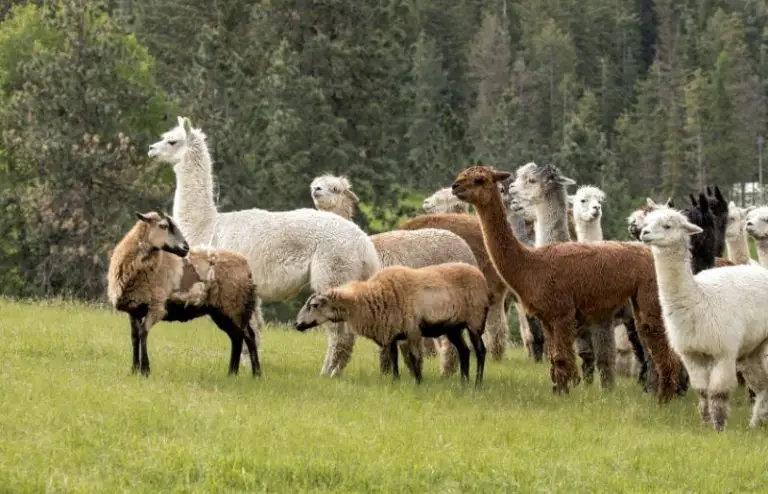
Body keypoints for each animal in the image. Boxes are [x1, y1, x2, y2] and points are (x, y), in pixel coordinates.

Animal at [107, 212, 260, 377]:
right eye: (163, 226)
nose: (186, 247)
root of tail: (247, 267)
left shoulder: (157, 306)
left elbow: (143, 332)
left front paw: (145, 370)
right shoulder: (134, 309)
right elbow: (134, 337)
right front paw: (134, 369)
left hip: (236, 305)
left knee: (248, 336)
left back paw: (256, 374)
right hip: (222, 310)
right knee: (236, 337)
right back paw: (233, 373)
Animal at [148, 117, 380, 378]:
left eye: (172, 141)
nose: (151, 149)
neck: (209, 225)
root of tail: (365, 245)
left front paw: (242, 368)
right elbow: (255, 330)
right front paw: (251, 367)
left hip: (334, 270)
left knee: (340, 332)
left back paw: (327, 375)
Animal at [294, 263, 490, 386]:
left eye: (314, 305)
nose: (297, 324)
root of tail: (480, 275)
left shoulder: (413, 331)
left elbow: (415, 357)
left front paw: (418, 382)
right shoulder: (391, 332)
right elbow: (393, 357)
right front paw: (395, 380)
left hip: (475, 321)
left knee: (480, 351)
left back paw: (477, 383)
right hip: (453, 327)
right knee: (464, 351)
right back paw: (464, 381)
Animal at [451, 165, 684, 401]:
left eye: (479, 180)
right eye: (462, 174)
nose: (455, 186)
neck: (532, 264)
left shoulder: (562, 313)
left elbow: (563, 360)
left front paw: (563, 397)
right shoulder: (547, 318)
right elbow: (555, 360)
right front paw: (558, 393)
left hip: (649, 299)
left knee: (665, 353)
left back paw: (664, 400)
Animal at [639, 207, 768, 431]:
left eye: (667, 225)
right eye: (646, 222)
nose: (644, 233)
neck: (700, 301)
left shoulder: (724, 352)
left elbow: (717, 392)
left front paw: (719, 428)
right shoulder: (692, 354)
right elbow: (701, 390)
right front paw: (705, 423)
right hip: (753, 348)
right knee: (761, 385)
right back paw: (754, 424)